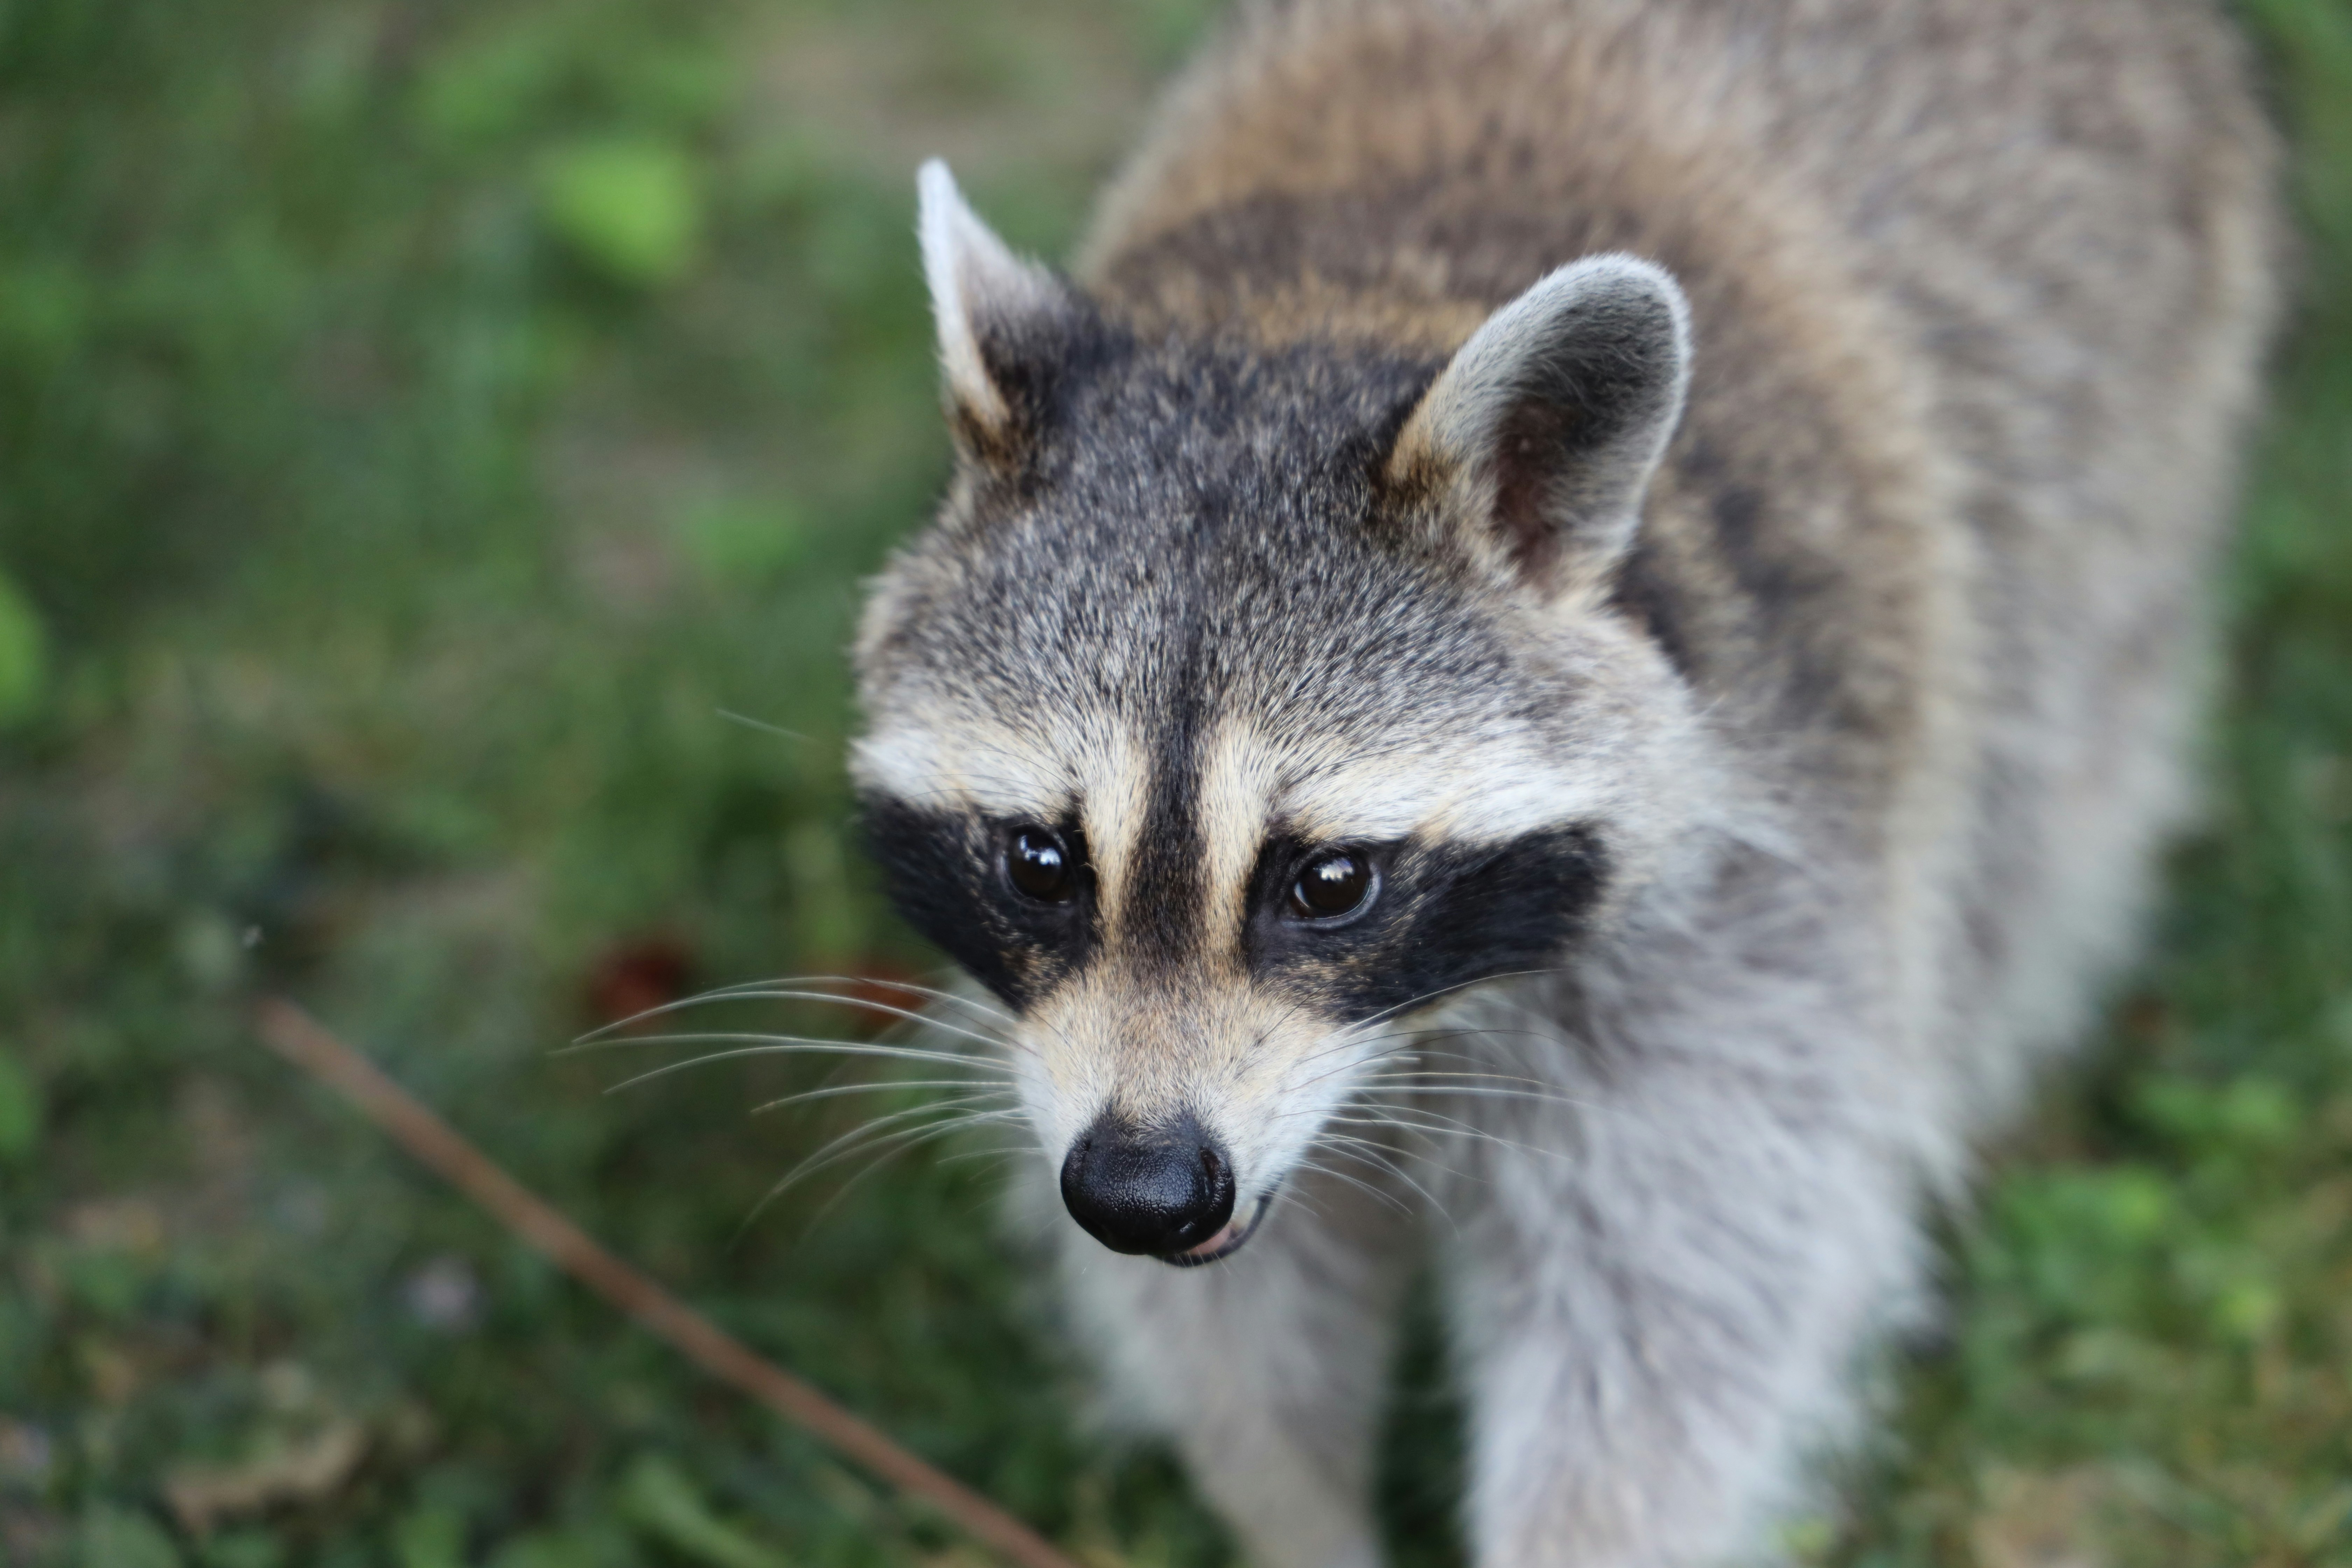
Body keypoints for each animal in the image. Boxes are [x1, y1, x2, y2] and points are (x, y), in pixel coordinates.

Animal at [846, 0, 2279, 1562]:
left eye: (1329, 881)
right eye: (1041, 861)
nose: (1143, 1192)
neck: (1319, 307)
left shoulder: (1760, 883)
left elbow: (1681, 1316)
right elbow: (1244, 1330)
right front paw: (1297, 1514)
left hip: (2115, 469)